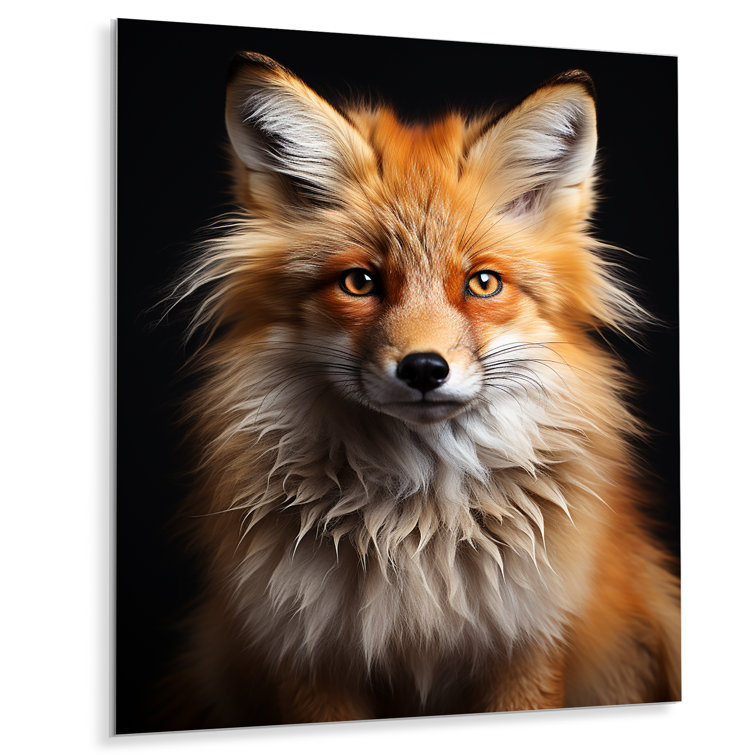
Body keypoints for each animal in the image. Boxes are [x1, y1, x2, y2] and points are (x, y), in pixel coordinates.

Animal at [165, 51, 680, 728]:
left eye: (483, 283)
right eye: (360, 282)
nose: (424, 369)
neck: (417, 530)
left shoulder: (528, 643)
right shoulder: (306, 652)